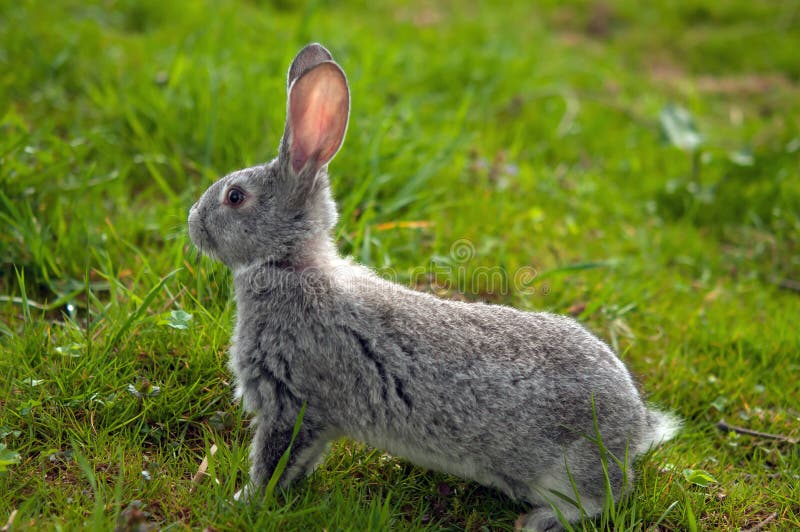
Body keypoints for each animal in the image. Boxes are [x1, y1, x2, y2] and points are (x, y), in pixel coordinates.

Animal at [187, 43, 679, 531]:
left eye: (235, 197)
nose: (192, 222)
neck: (290, 264)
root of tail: (634, 427)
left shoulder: (292, 401)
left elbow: (276, 463)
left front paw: (240, 503)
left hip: (567, 470)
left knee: (601, 499)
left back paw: (537, 520)